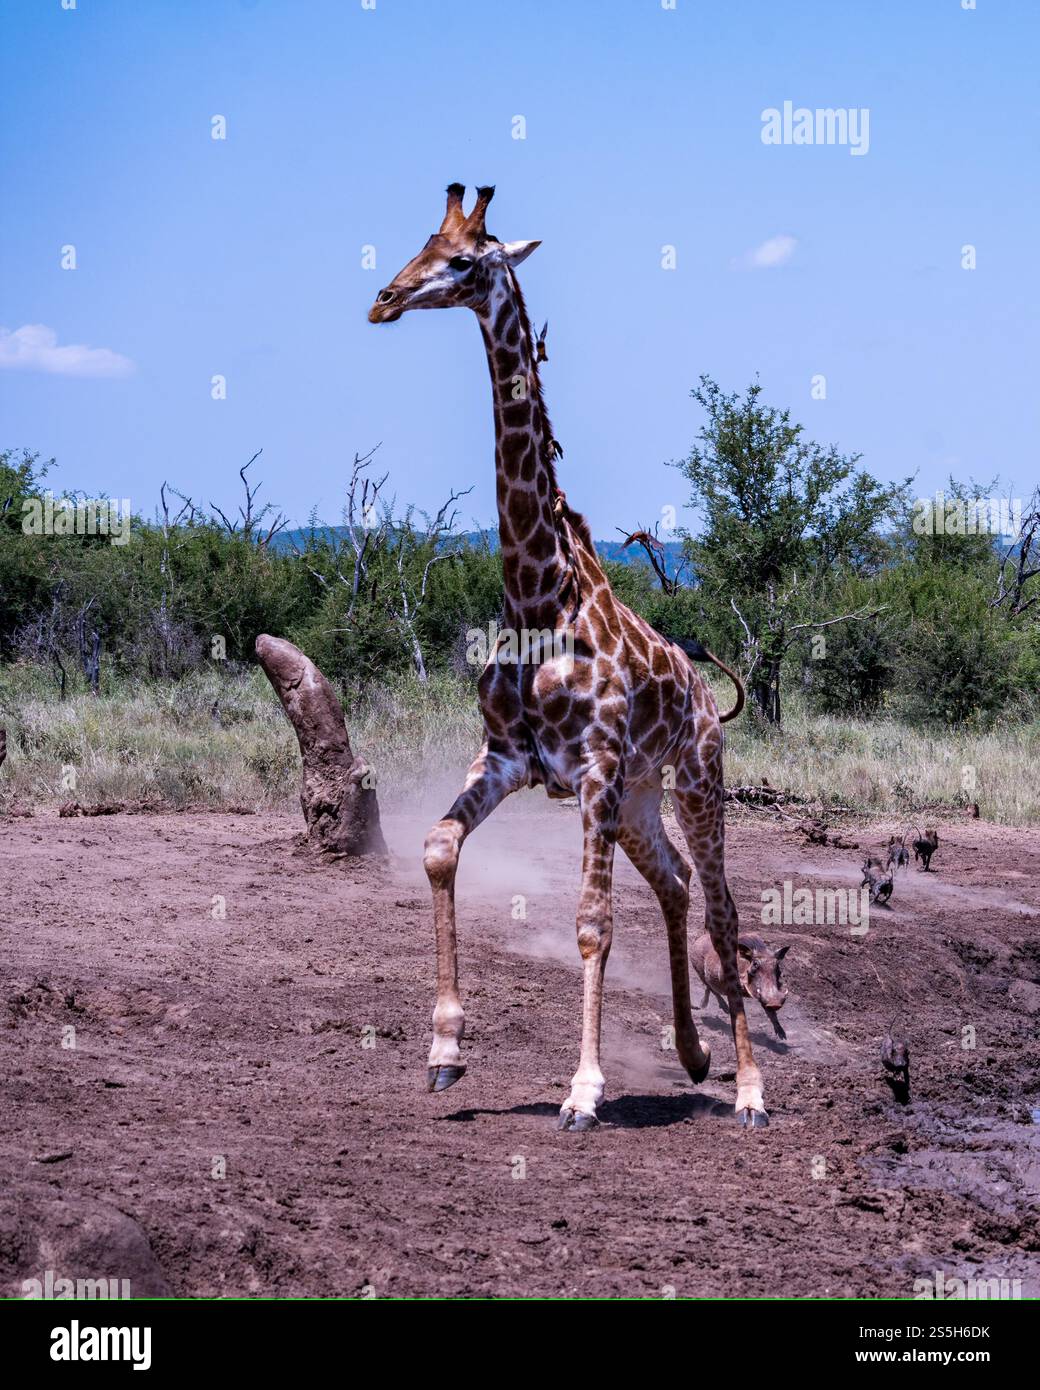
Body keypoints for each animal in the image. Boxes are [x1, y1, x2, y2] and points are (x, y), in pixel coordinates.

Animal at [368, 184, 767, 1128]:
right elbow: (437, 849)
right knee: (676, 885)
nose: (384, 300)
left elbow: (591, 921)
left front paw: (583, 1089)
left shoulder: (591, 769)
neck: (536, 595)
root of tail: (709, 696)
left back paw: (748, 1090)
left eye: (464, 259)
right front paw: (444, 1053)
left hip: (695, 781)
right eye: (420, 242)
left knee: (724, 910)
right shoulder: (511, 759)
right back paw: (693, 1055)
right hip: (640, 799)